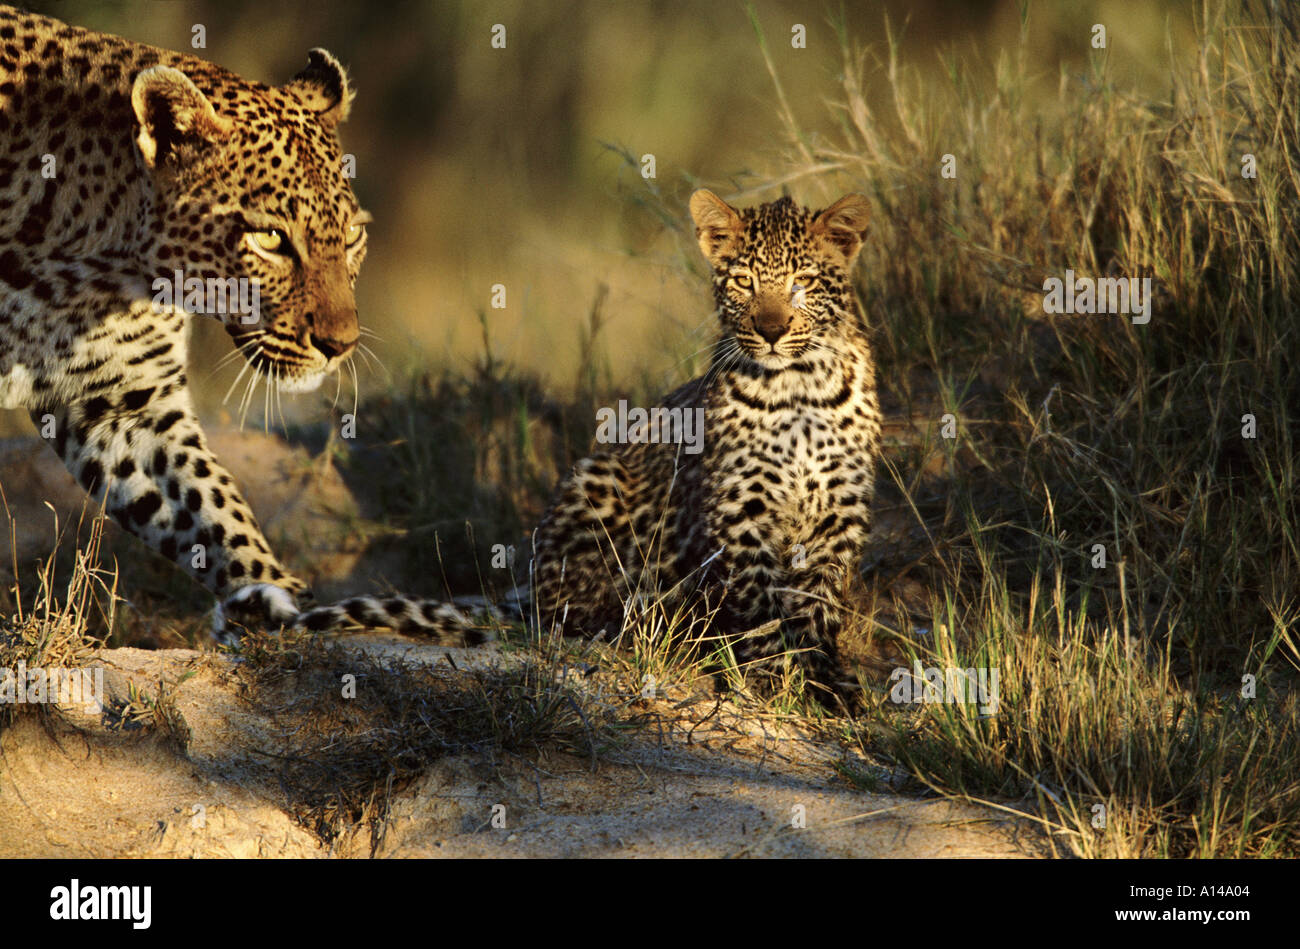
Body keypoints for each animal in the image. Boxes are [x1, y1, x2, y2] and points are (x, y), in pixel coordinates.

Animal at [0, 4, 379, 642]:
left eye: (352, 236)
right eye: (271, 238)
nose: (340, 344)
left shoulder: (127, 402)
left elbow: (210, 502)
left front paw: (277, 602)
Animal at [300, 190, 881, 693]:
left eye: (803, 281)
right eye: (743, 281)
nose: (771, 332)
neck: (799, 388)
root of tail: (526, 591)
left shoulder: (838, 516)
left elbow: (817, 606)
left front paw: (826, 680)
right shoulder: (742, 510)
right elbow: (759, 602)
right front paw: (770, 674)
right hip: (595, 481)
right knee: (576, 612)